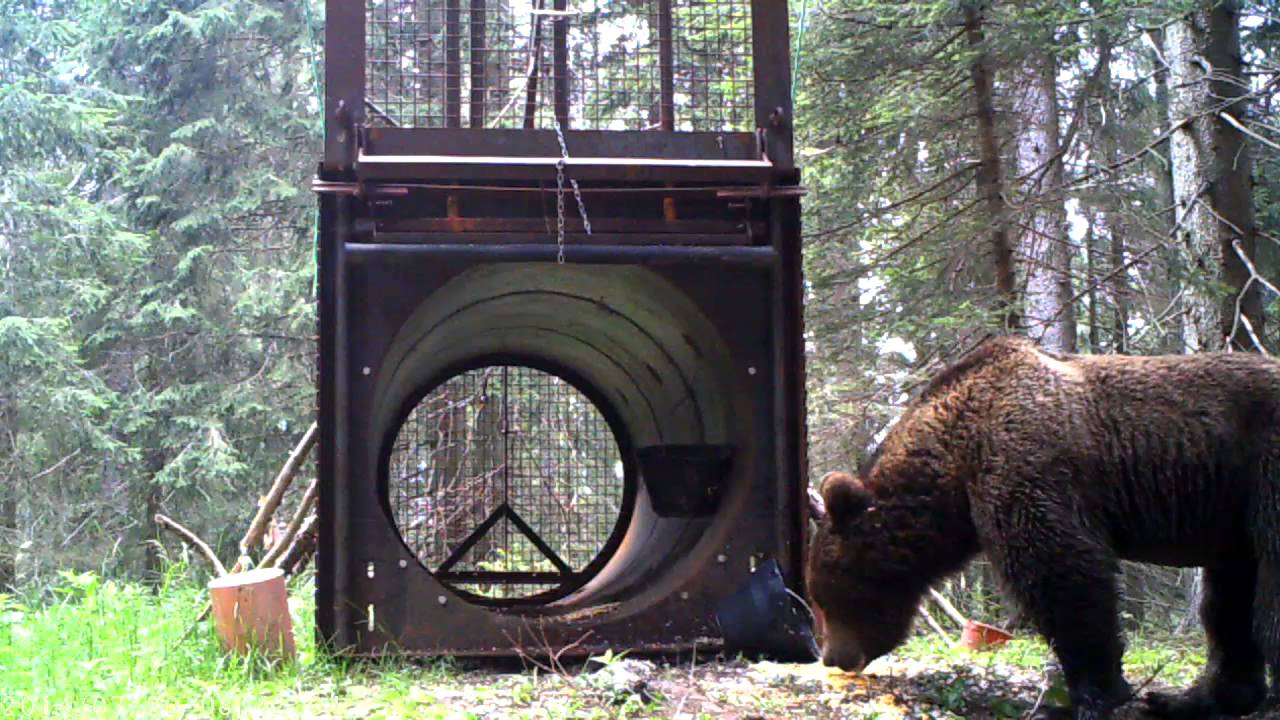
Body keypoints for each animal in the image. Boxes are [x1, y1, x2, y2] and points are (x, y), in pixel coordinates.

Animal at [805, 335, 1280, 720]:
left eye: (826, 596)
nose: (834, 657)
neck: (955, 461)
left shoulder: (1024, 462)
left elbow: (1062, 572)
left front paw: (1090, 694)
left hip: (1264, 473)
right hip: (1233, 514)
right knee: (1228, 603)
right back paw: (1191, 698)